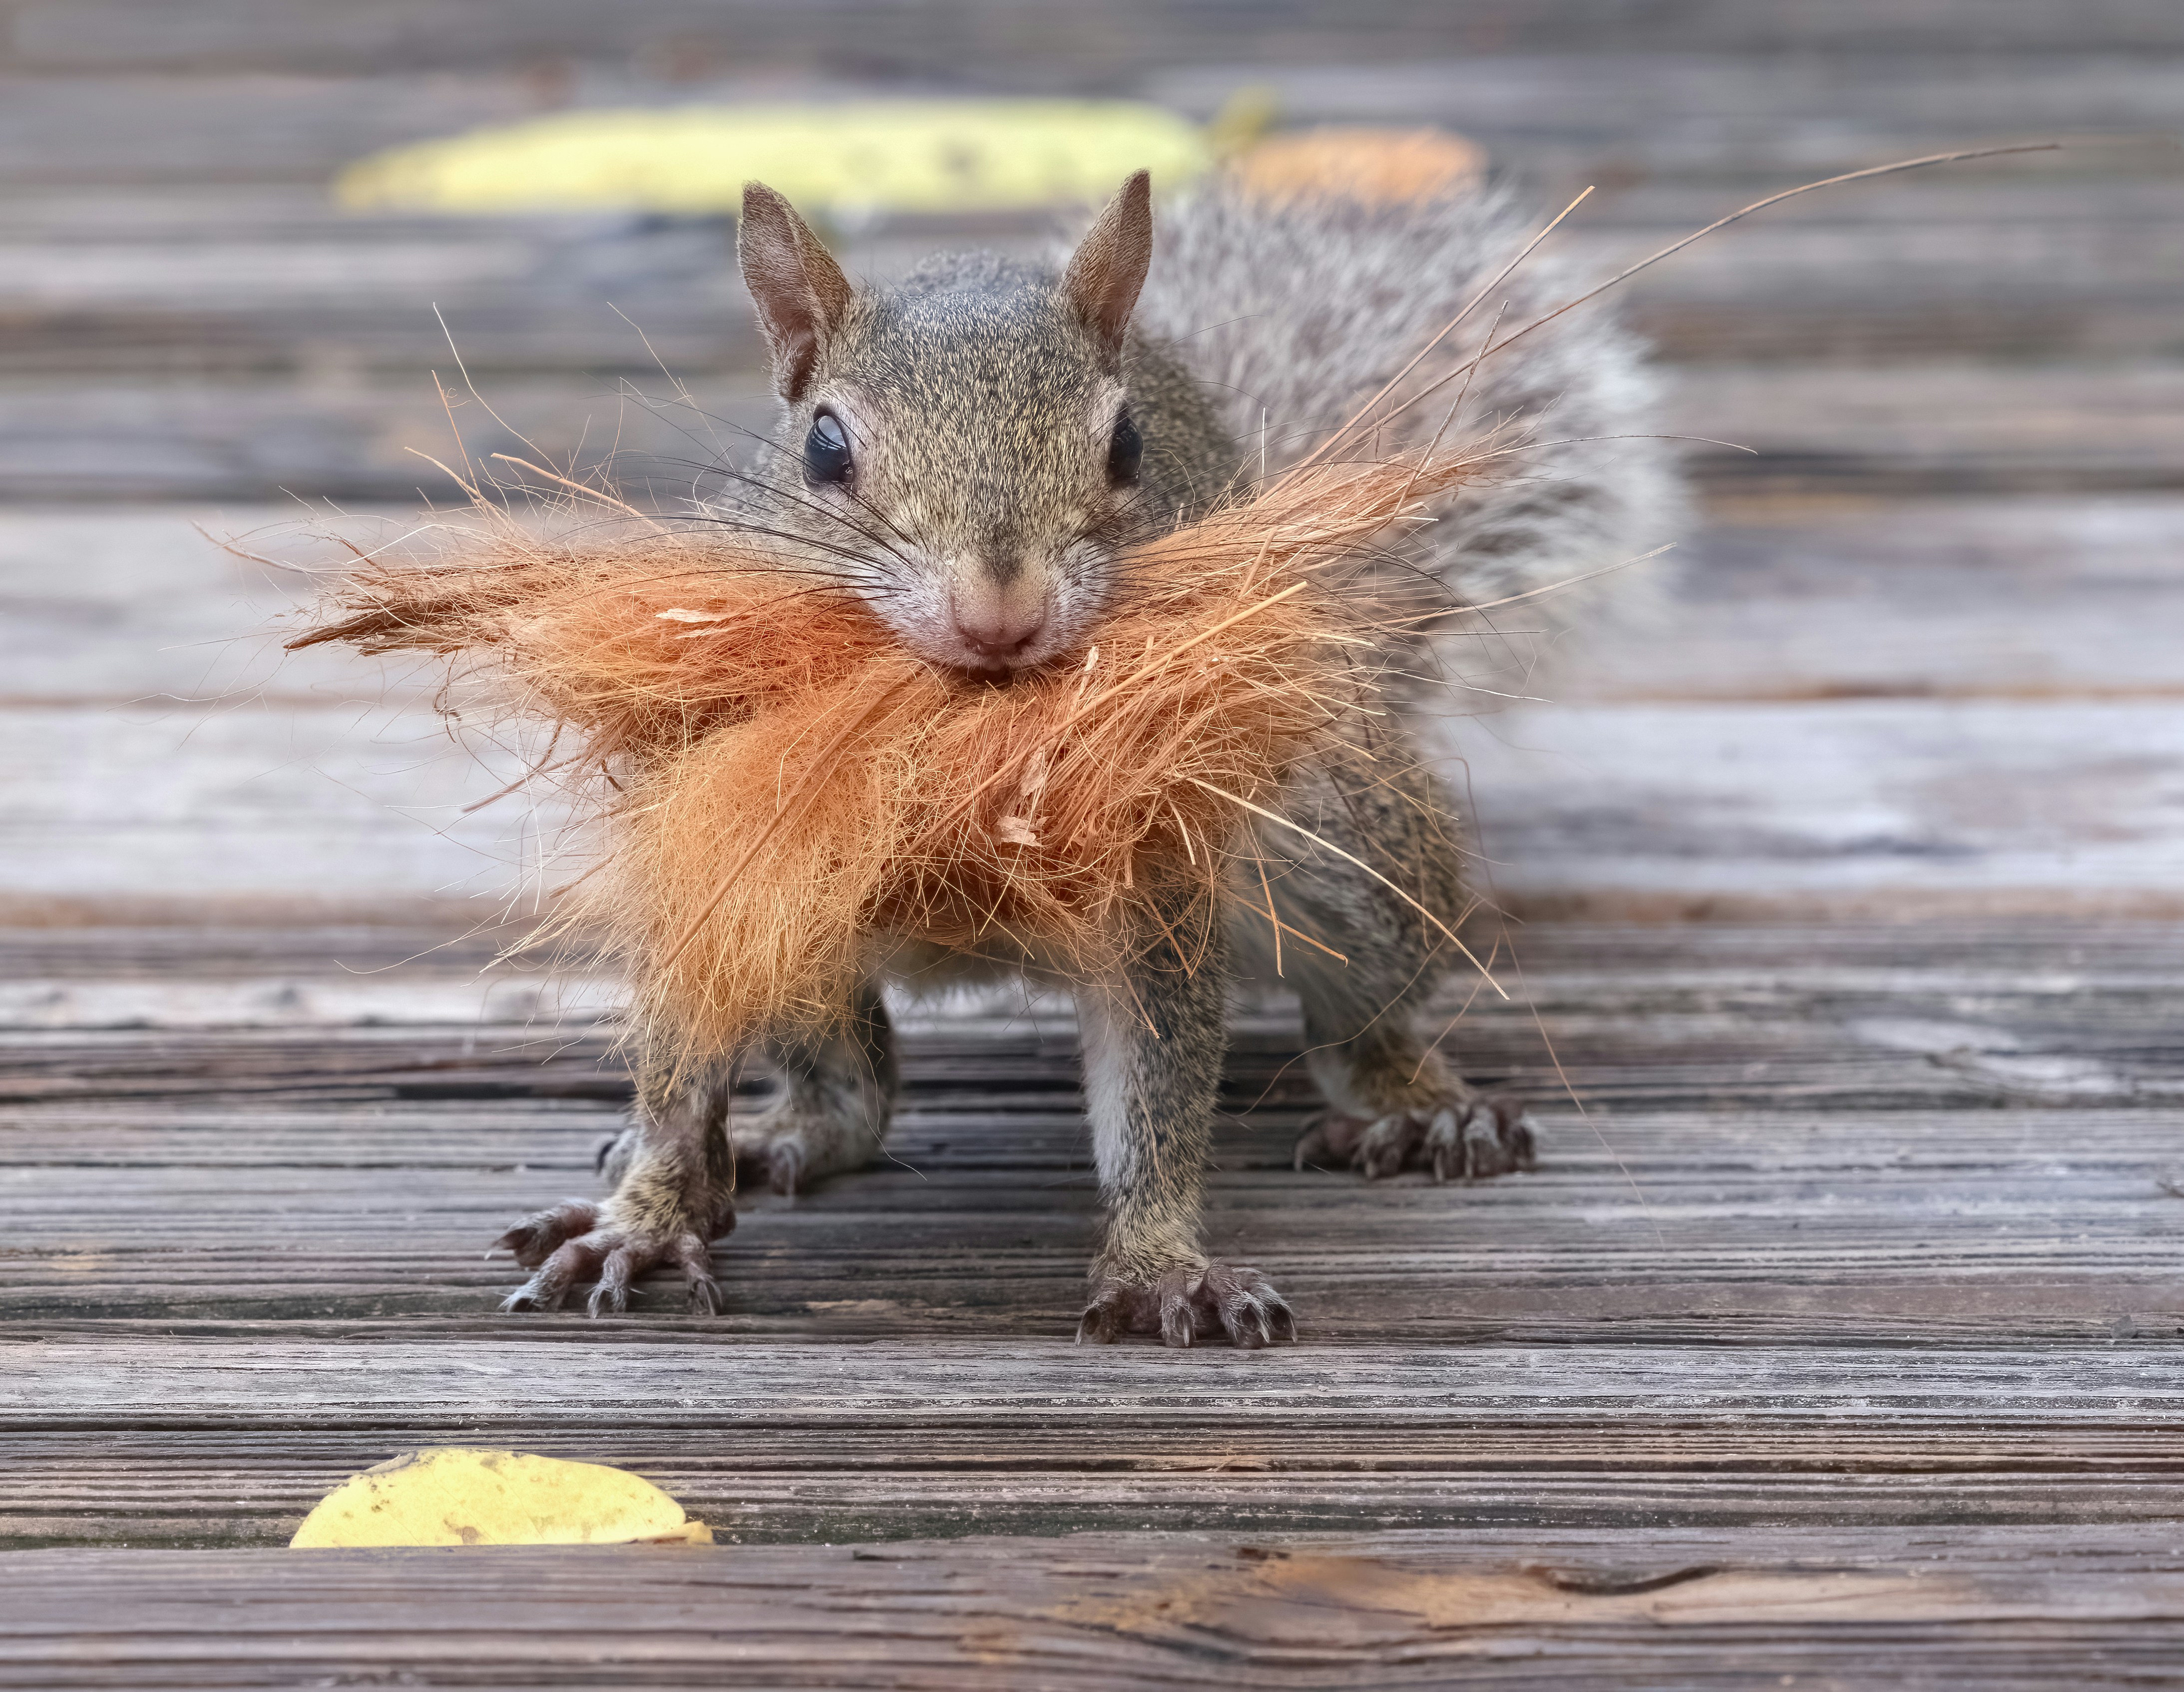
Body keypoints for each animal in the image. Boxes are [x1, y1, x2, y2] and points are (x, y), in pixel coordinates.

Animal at [494, 153, 1680, 1344]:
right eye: (824, 447)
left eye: (1126, 444)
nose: (997, 612)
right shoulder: (717, 844)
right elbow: (677, 1066)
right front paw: (644, 1213)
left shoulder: (1159, 875)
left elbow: (1156, 1080)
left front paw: (1161, 1263)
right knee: (853, 1096)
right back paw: (770, 1136)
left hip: (1344, 842)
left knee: (1365, 1013)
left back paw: (1416, 1104)